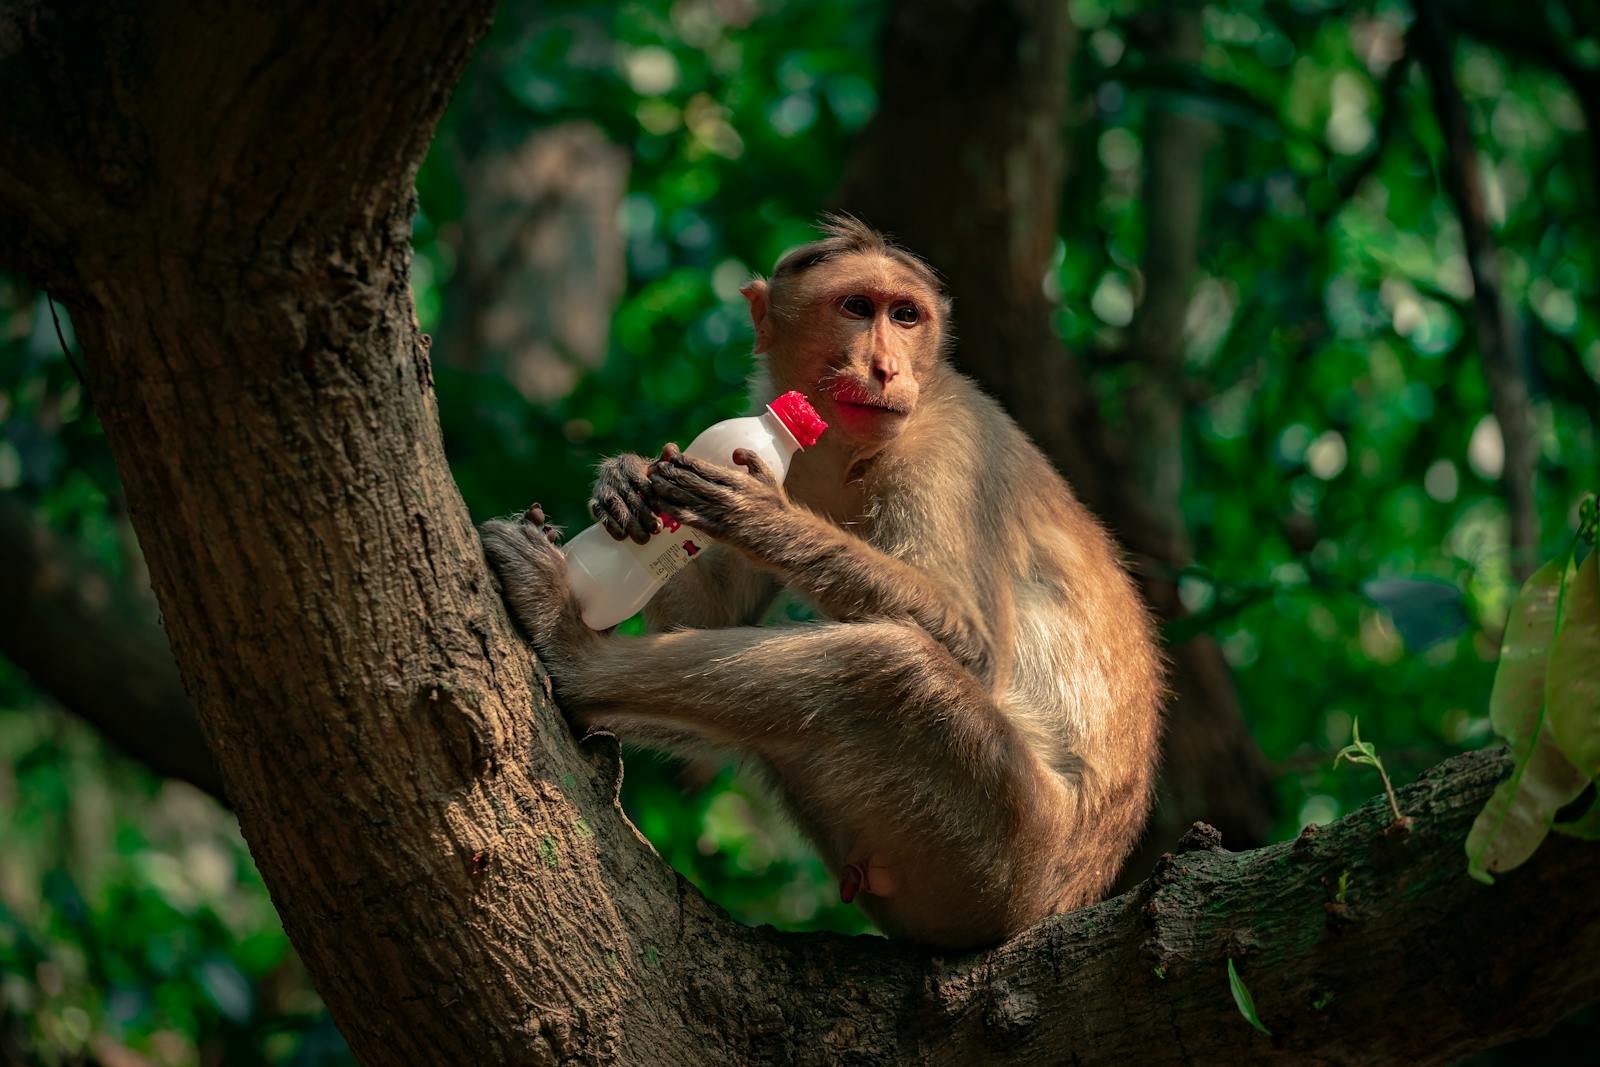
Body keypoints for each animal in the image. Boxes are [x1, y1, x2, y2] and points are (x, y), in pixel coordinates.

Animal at [480, 215, 1163, 950]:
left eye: (906, 315)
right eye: (857, 307)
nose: (887, 367)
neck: (851, 452)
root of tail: (1063, 898)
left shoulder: (951, 445)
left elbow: (974, 646)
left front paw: (757, 515)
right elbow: (708, 615)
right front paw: (629, 476)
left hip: (1012, 847)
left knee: (895, 668)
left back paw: (568, 644)